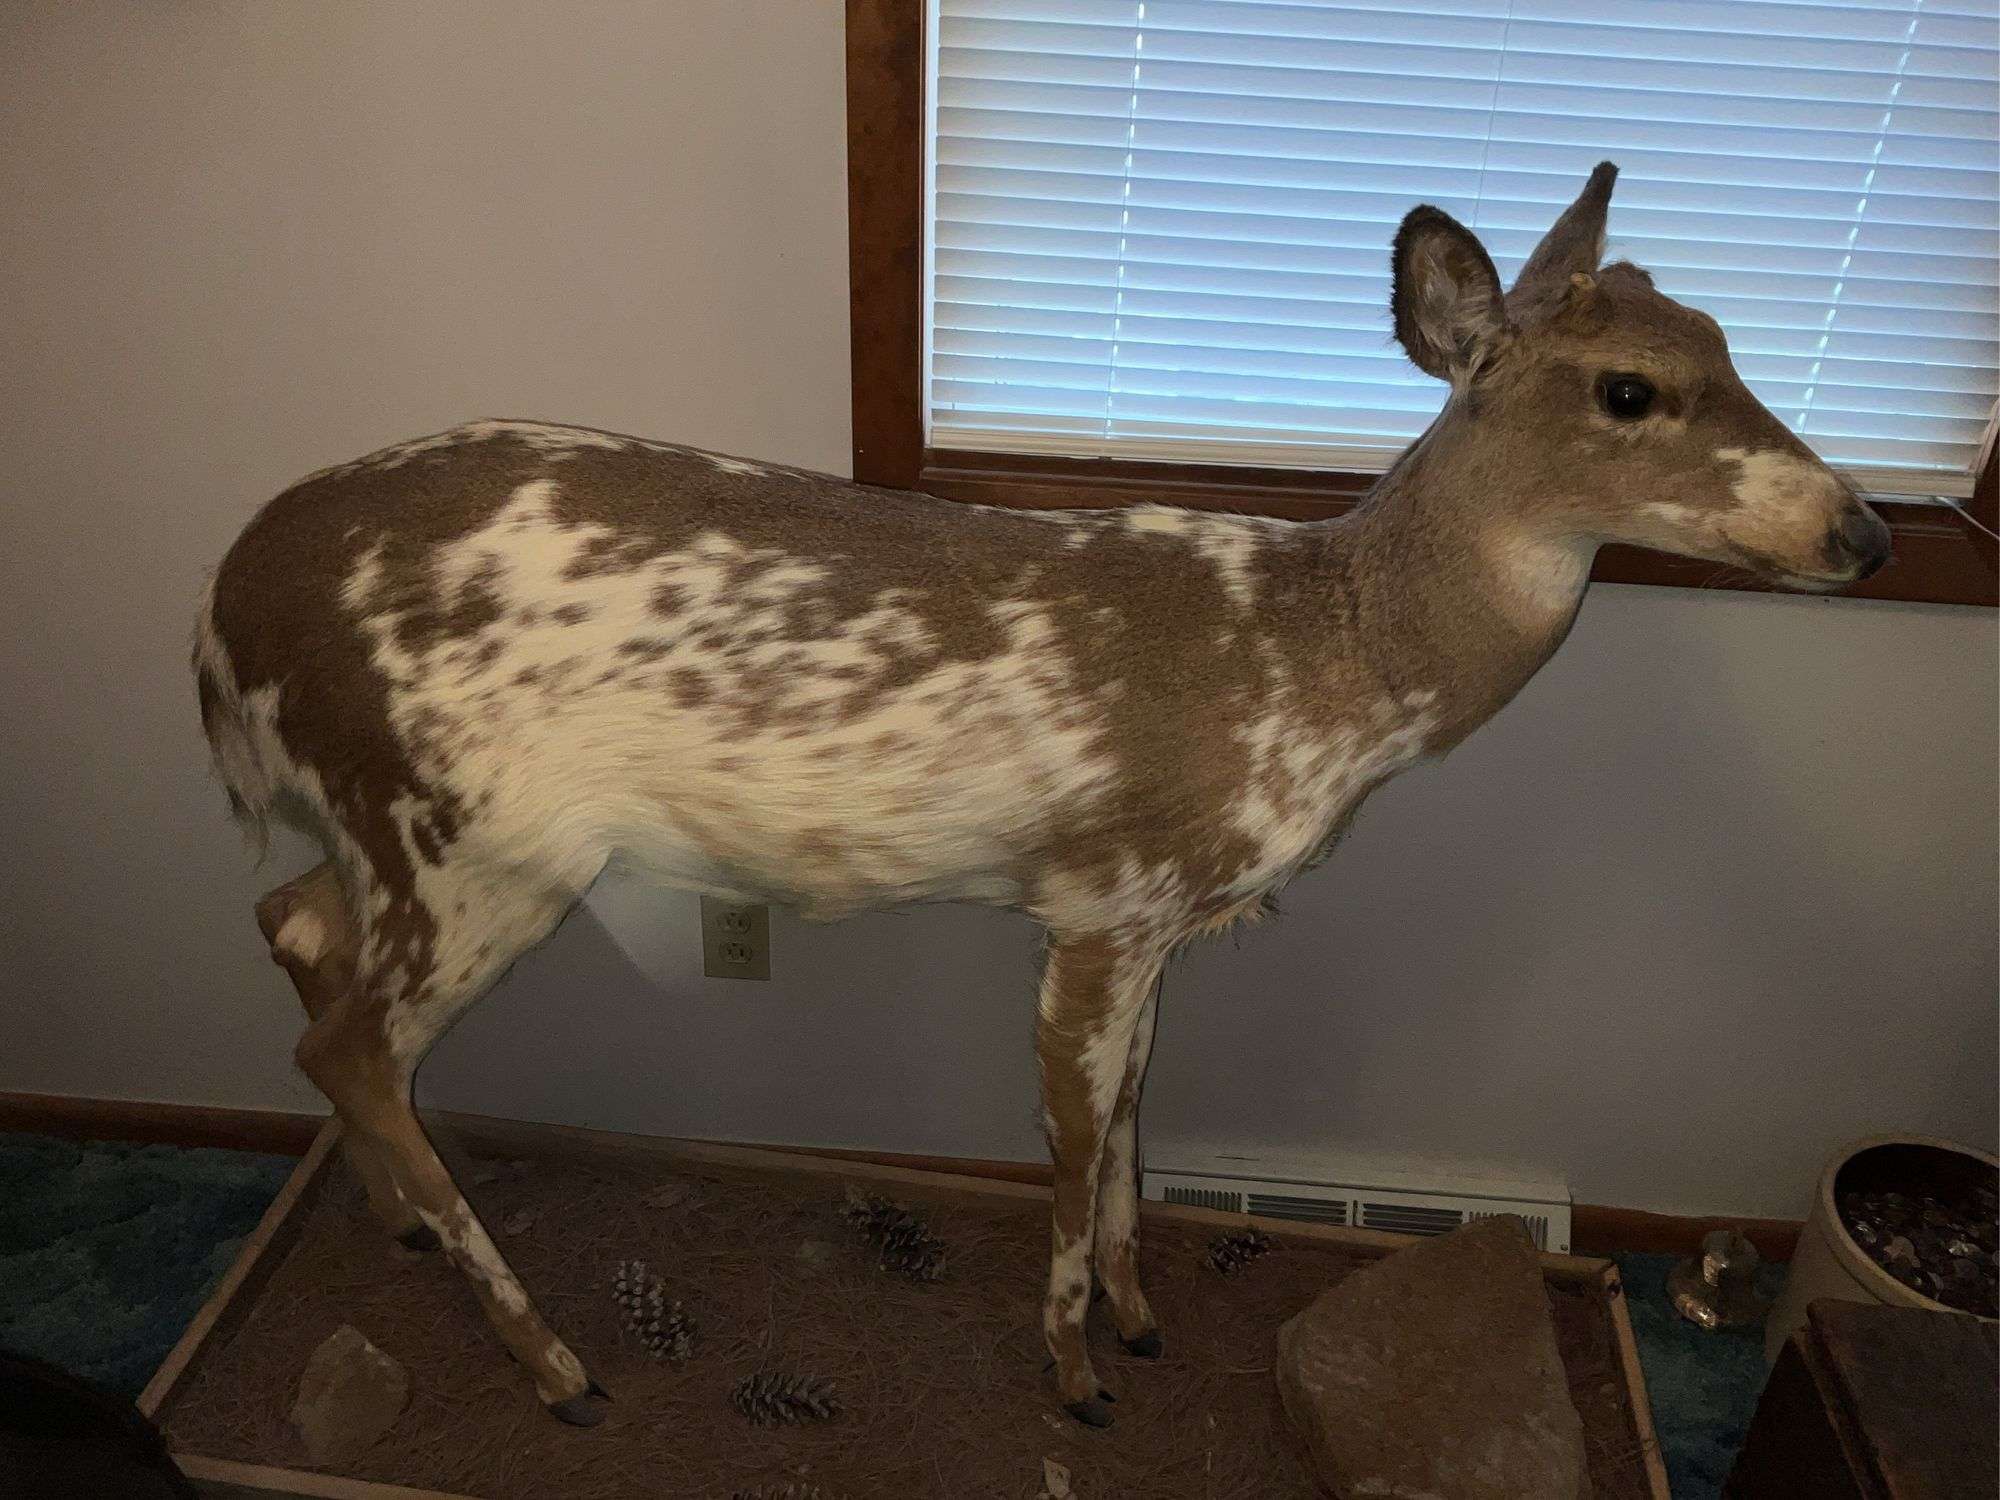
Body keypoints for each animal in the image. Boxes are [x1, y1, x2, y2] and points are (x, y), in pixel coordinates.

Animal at [194, 163, 1889, 1430]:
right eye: (1631, 389)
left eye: (1724, 334)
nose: (1864, 530)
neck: (1323, 666)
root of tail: (219, 617)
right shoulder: (1102, 894)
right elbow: (1076, 1141)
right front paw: (1076, 1372)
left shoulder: (1166, 920)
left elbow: (1139, 1112)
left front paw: (1139, 1317)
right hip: (470, 838)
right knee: (348, 1039)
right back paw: (555, 1363)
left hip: (382, 830)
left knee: (292, 927)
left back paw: (408, 1225)